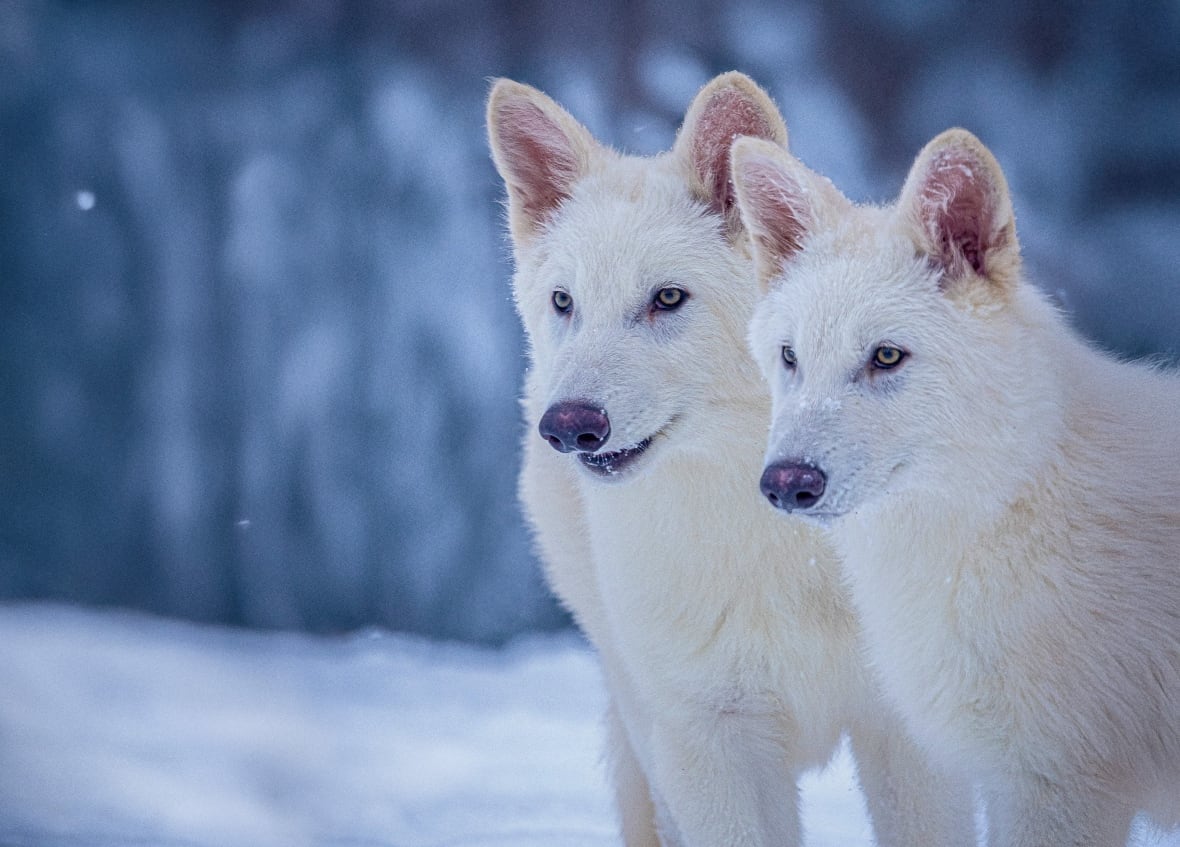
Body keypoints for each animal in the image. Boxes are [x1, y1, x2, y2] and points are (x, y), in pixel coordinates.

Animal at [487, 73, 973, 846]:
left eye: (667, 298)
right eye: (565, 301)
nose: (568, 427)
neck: (779, 545)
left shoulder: (907, 735)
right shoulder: (708, 741)